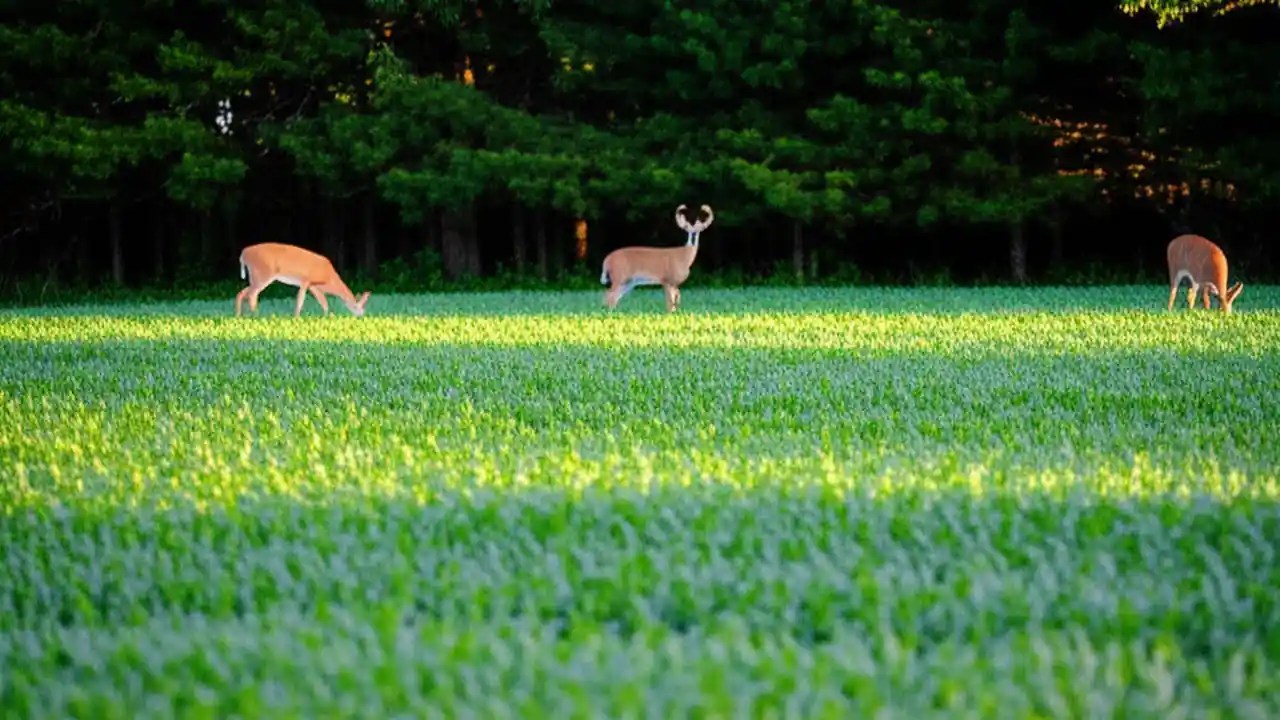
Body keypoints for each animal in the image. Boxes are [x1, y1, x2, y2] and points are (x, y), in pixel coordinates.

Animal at [235, 242, 371, 318]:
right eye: (357, 307)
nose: (361, 315)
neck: (329, 279)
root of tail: (243, 254)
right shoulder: (306, 281)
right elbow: (300, 300)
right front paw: (296, 317)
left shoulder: (313, 286)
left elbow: (324, 302)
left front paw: (328, 316)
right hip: (263, 273)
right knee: (252, 294)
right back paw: (256, 315)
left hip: (255, 277)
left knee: (242, 293)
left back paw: (239, 316)